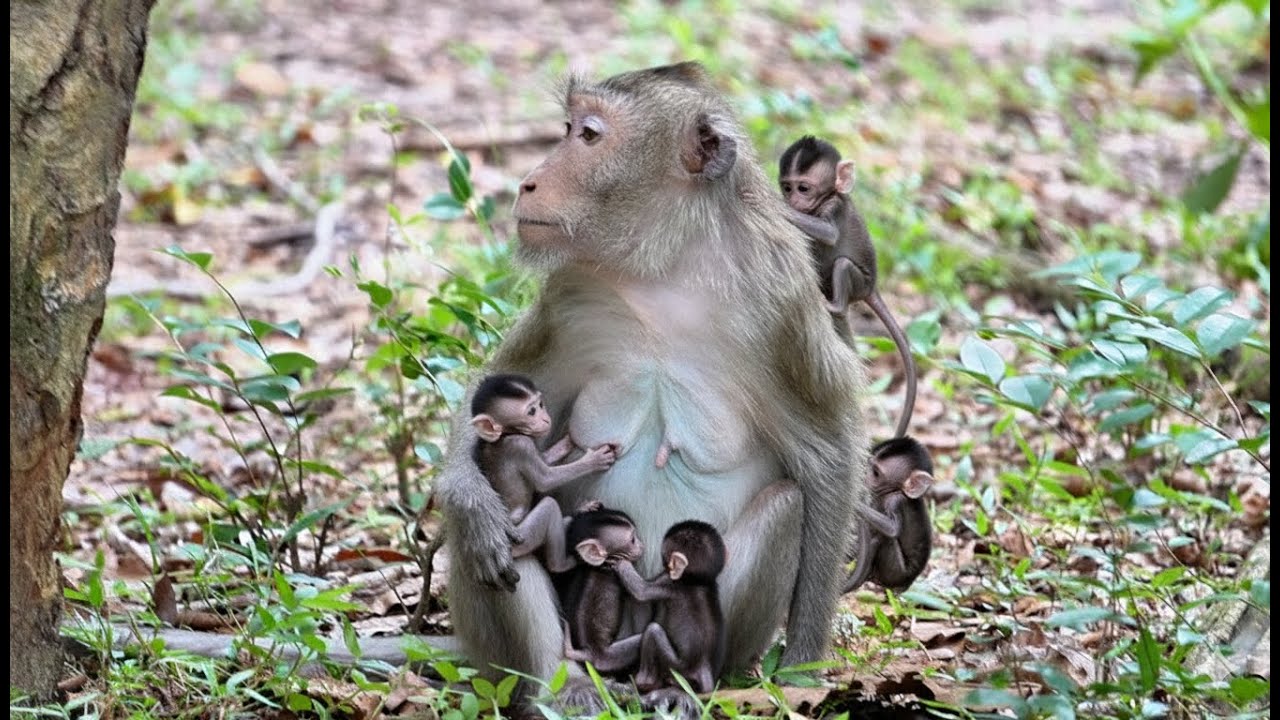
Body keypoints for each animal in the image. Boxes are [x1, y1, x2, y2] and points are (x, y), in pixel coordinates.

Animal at [470, 373, 617, 573]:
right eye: (532, 412)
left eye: (540, 405)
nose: (546, 419)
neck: (504, 435)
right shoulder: (521, 446)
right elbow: (545, 479)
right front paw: (593, 460)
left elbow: (545, 460)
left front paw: (568, 441)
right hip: (521, 539)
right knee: (549, 507)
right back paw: (561, 564)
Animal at [558, 507, 647, 673]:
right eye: (632, 540)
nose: (642, 545)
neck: (600, 566)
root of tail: (587, 653)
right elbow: (639, 593)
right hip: (609, 657)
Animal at [610, 520, 726, 695]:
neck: (695, 580)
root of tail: (702, 665)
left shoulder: (668, 582)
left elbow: (641, 591)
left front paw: (622, 563)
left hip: (676, 665)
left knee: (653, 631)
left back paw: (644, 682)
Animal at [779, 136, 918, 439]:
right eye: (787, 187)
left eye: (803, 188)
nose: (792, 200)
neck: (826, 199)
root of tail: (872, 288)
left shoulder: (834, 206)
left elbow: (829, 233)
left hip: (859, 283)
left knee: (842, 264)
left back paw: (835, 306)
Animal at [843, 436, 935, 593]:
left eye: (875, 473)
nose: (862, 477)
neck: (893, 491)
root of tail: (906, 585)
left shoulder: (895, 501)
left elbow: (892, 529)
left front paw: (854, 501)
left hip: (894, 572)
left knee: (881, 539)